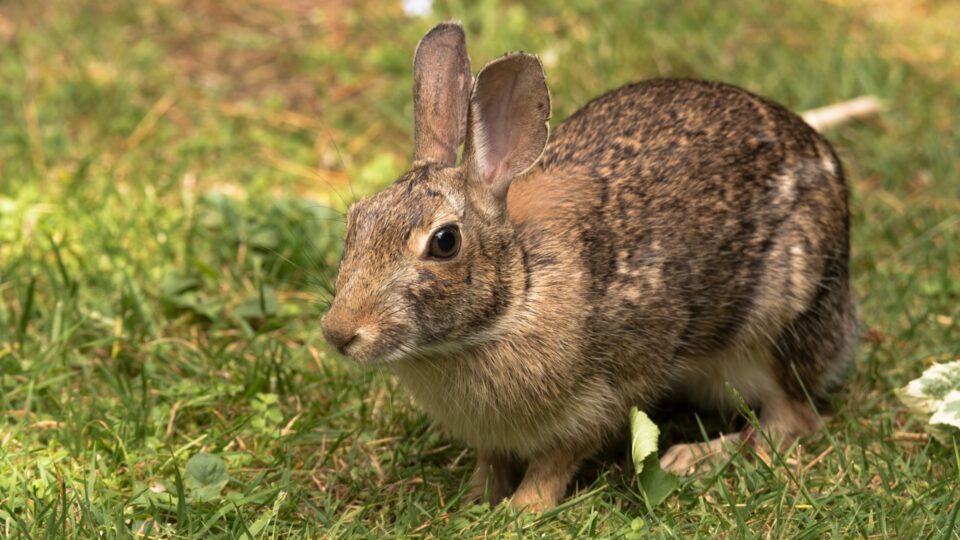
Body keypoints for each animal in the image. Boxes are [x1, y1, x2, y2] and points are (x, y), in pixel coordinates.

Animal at [321, 22, 860, 511]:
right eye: (356, 220)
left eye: (445, 242)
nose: (338, 333)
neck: (518, 293)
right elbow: (492, 459)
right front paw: (476, 500)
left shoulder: (606, 394)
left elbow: (558, 459)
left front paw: (522, 510)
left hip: (778, 322)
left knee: (791, 420)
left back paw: (693, 457)